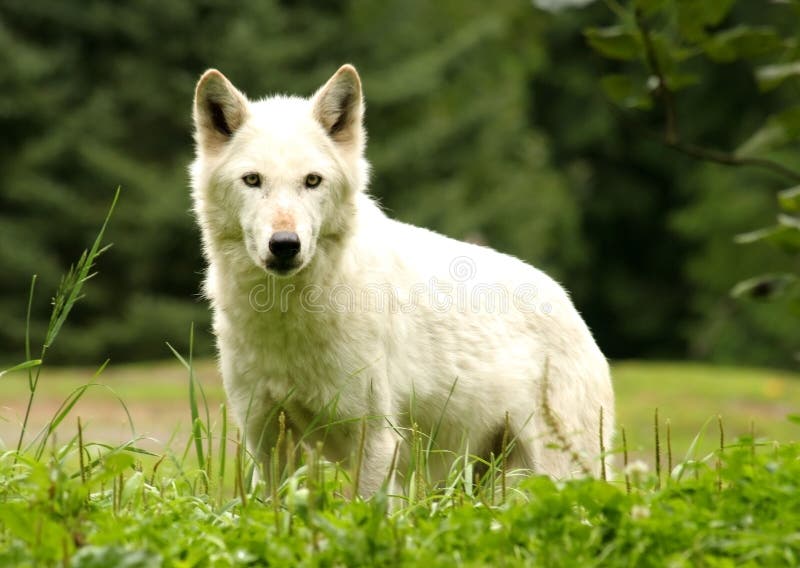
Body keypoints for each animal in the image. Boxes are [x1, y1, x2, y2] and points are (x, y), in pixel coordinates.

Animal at [190, 64, 614, 497]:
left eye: (312, 181)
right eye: (252, 180)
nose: (285, 245)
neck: (287, 316)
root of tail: (568, 304)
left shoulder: (377, 441)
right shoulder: (266, 439)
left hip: (557, 473)